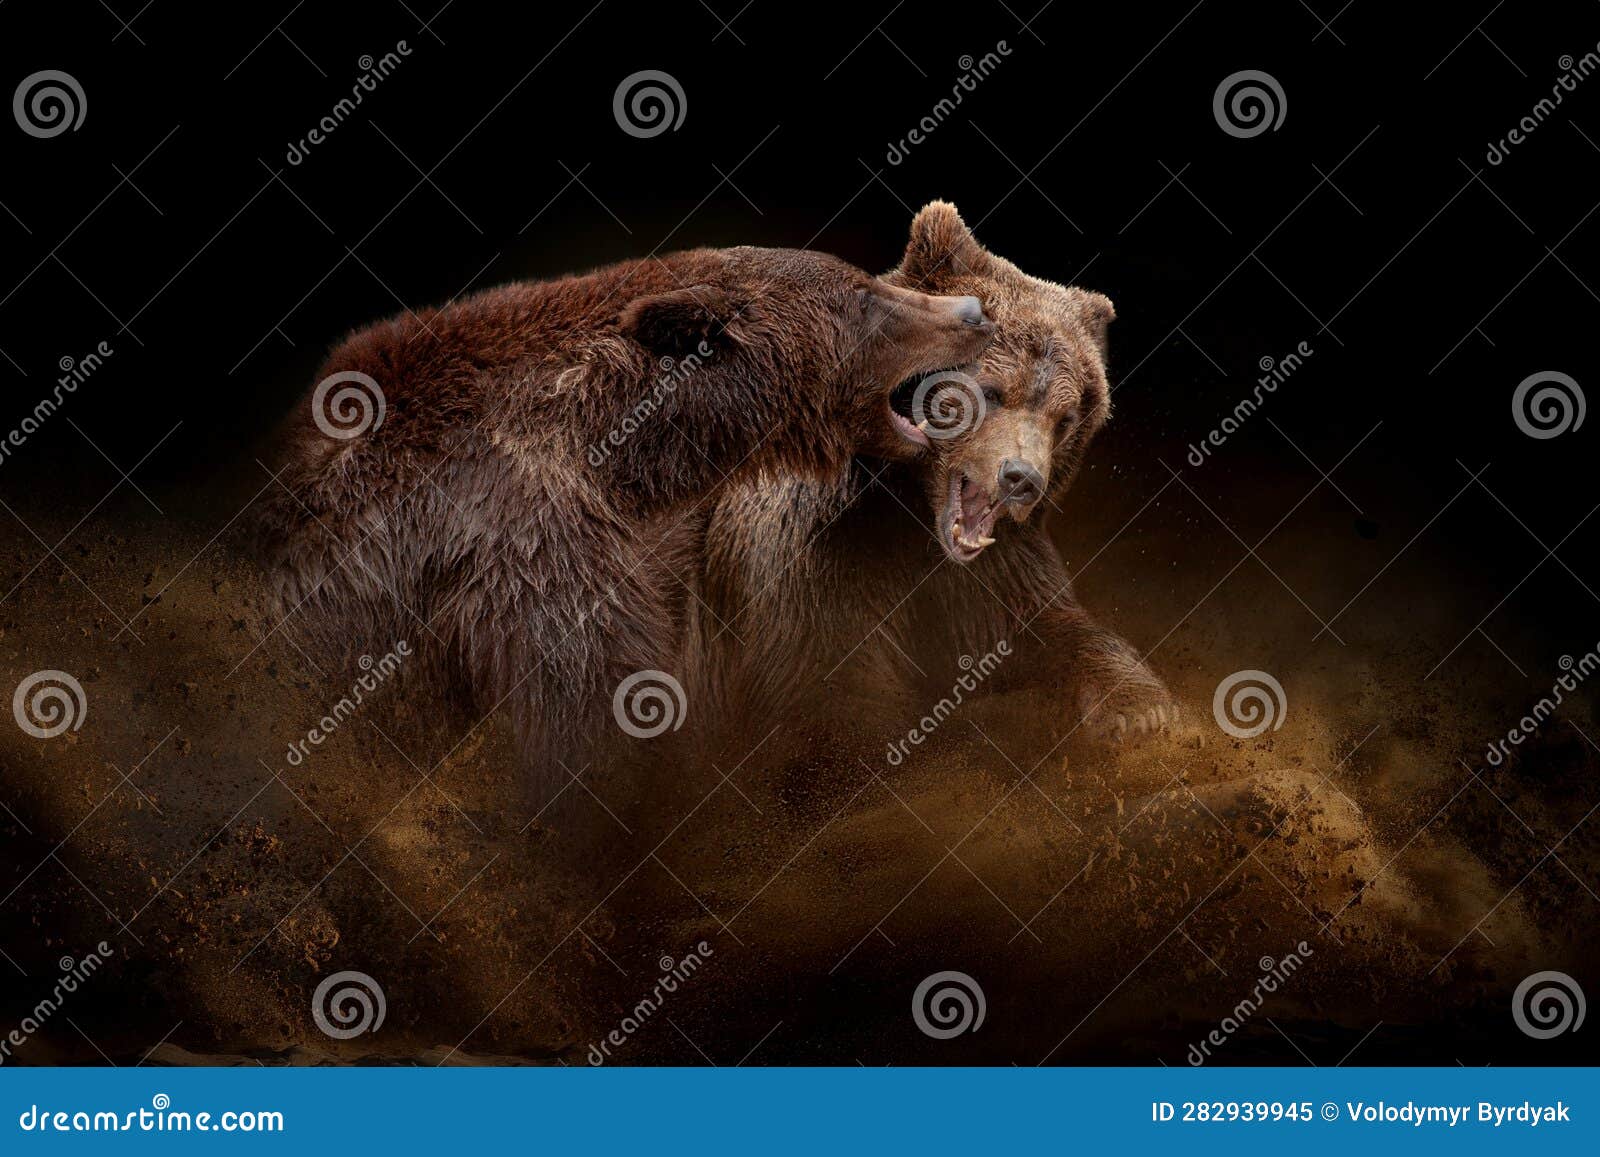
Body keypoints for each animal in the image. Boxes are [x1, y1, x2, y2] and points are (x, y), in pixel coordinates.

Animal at [691, 203, 1178, 752]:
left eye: (1065, 418)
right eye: (991, 390)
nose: (1021, 478)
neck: (912, 523)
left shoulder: (995, 577)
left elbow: (1058, 628)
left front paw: (1141, 710)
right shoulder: (815, 566)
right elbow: (834, 695)